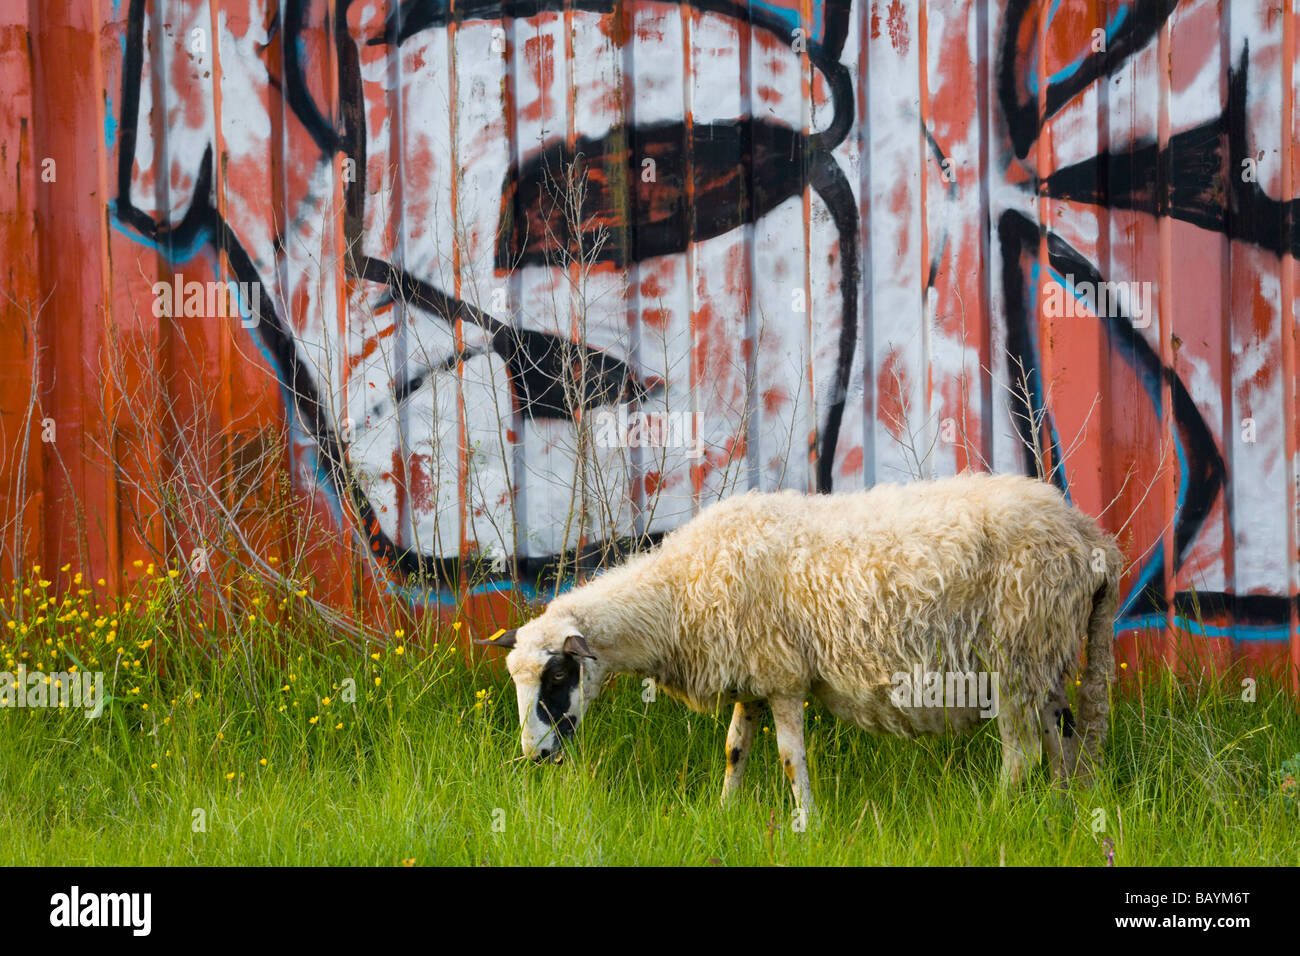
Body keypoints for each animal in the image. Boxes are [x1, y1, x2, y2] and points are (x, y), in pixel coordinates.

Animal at [477, 472, 1121, 815]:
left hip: (1014, 651)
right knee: (1061, 736)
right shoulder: (750, 678)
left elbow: (791, 757)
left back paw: (997, 813)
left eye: (559, 676)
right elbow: (735, 750)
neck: (678, 593)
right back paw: (1062, 810)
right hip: (1046, 653)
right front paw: (724, 813)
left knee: (1023, 750)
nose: (535, 756)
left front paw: (804, 823)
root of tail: (1091, 540)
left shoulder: (782, 676)